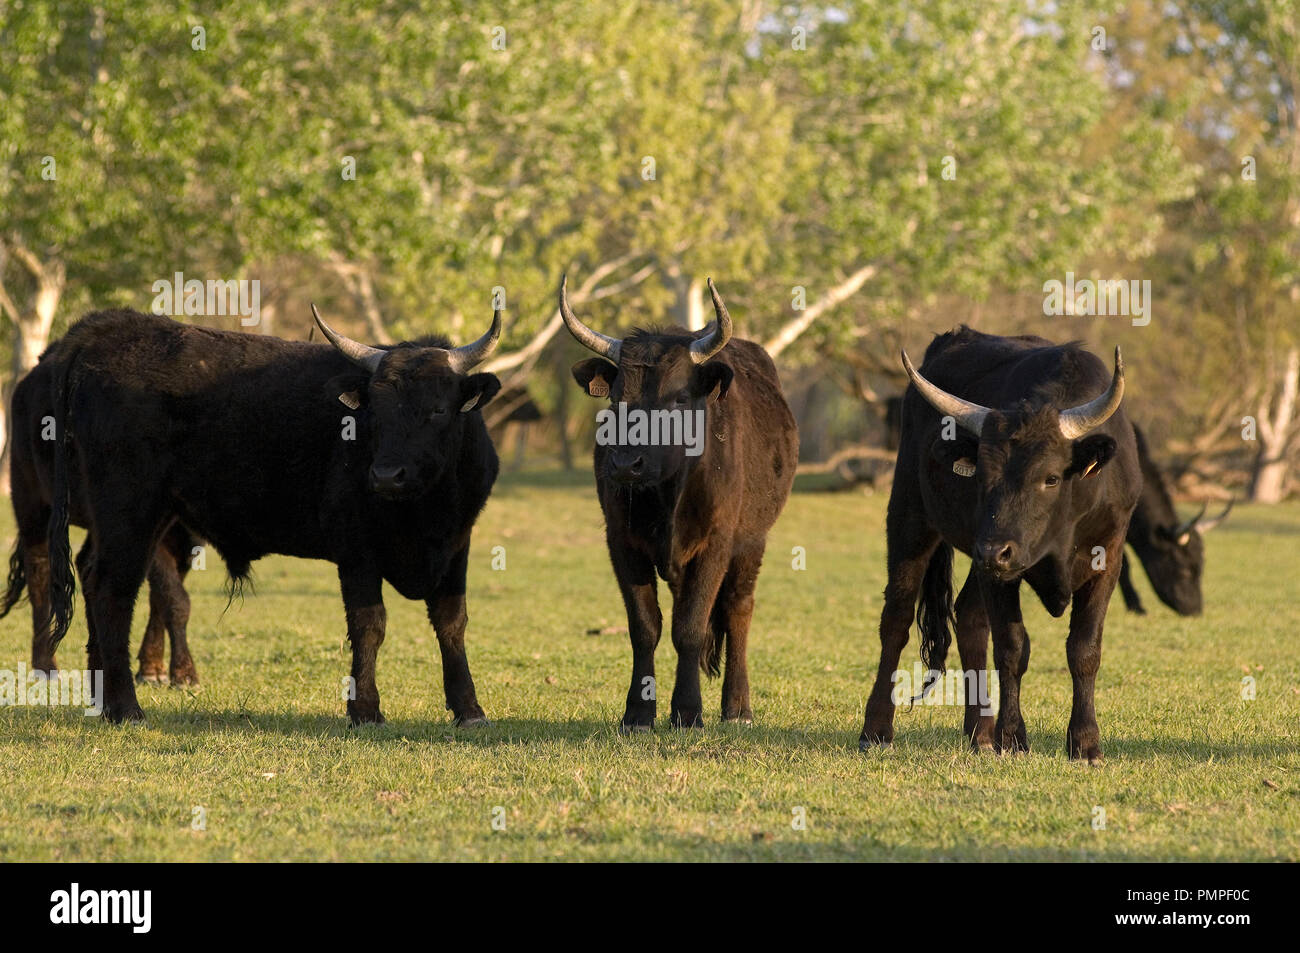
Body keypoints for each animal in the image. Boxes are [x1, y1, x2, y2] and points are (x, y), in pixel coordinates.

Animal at [3, 351, 202, 686]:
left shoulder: (185, 543)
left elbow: (160, 600)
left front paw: (153, 667)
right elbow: (176, 600)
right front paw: (185, 672)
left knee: (86, 566)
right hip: (30, 500)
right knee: (39, 572)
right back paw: (46, 664)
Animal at [29, 304, 502, 724]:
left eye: (437, 409)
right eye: (375, 411)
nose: (386, 476)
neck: (422, 510)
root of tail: (107, 328)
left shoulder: (457, 546)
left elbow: (451, 622)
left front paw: (469, 708)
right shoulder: (356, 551)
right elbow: (370, 625)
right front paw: (366, 710)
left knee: (94, 576)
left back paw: (101, 699)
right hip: (129, 511)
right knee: (113, 590)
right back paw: (125, 708)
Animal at [560, 276, 798, 729]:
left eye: (679, 398)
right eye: (615, 398)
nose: (625, 463)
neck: (667, 494)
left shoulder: (717, 543)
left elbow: (690, 626)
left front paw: (687, 711)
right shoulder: (622, 543)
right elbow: (645, 626)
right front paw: (638, 712)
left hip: (752, 542)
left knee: (738, 611)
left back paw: (737, 707)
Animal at [859, 328, 1138, 764]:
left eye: (1050, 478)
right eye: (981, 476)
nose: (993, 551)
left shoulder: (1108, 557)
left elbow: (1084, 650)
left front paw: (1085, 742)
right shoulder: (999, 573)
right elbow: (1012, 647)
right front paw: (1013, 737)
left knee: (970, 618)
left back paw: (981, 732)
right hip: (910, 516)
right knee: (897, 619)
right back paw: (876, 730)